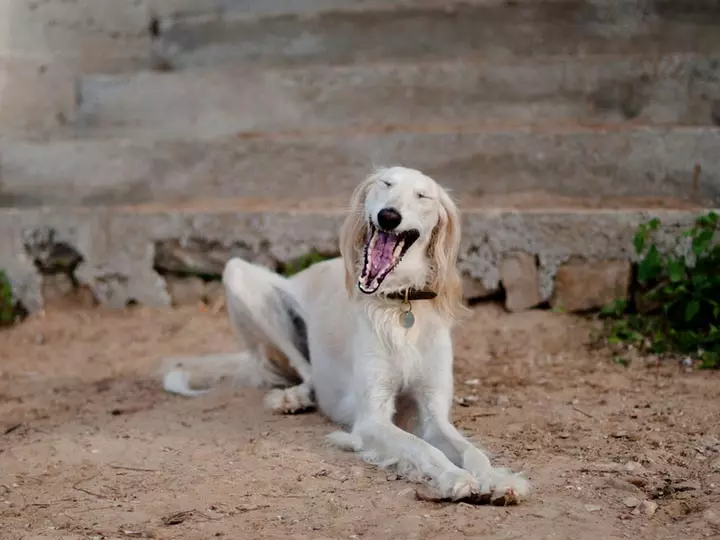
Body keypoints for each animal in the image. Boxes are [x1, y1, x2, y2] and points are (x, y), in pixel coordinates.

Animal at [166, 167, 532, 504]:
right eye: (386, 183)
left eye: (422, 196)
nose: (388, 216)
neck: (399, 305)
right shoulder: (372, 419)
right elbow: (423, 449)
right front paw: (455, 478)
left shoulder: (433, 412)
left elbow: (470, 449)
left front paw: (496, 479)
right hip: (239, 275)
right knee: (305, 370)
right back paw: (294, 397)